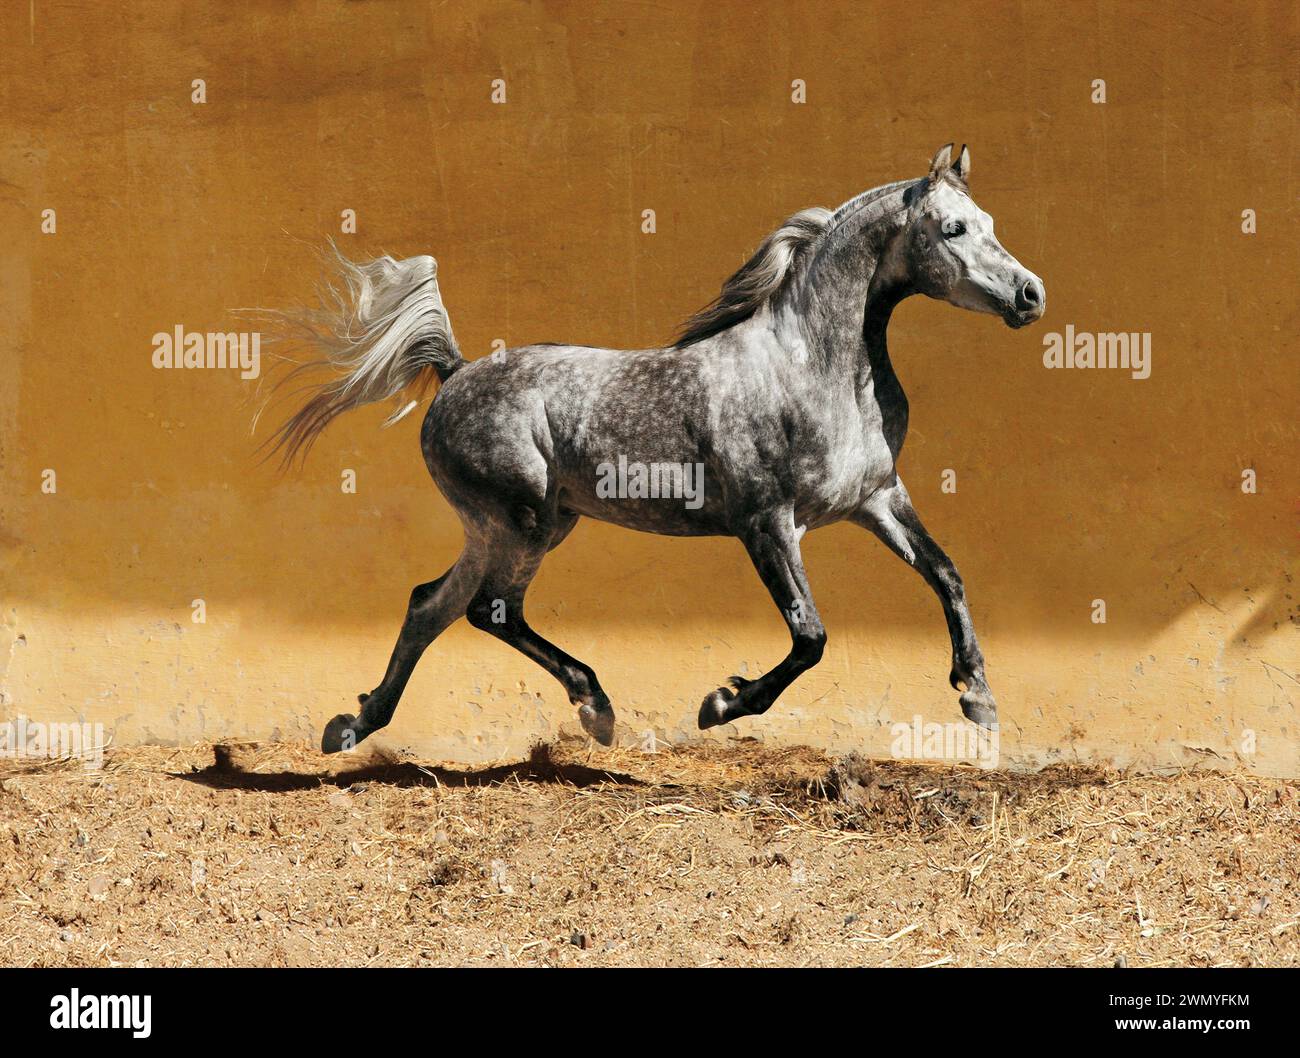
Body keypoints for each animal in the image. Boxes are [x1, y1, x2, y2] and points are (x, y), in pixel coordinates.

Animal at [266, 143, 1045, 754]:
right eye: (953, 228)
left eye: (992, 224)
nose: (1030, 295)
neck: (814, 368)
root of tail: (455, 374)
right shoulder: (766, 523)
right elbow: (811, 636)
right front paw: (721, 704)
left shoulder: (876, 499)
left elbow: (946, 574)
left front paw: (977, 695)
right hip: (521, 522)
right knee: (486, 609)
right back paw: (593, 707)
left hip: (527, 524)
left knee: (434, 605)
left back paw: (356, 724)